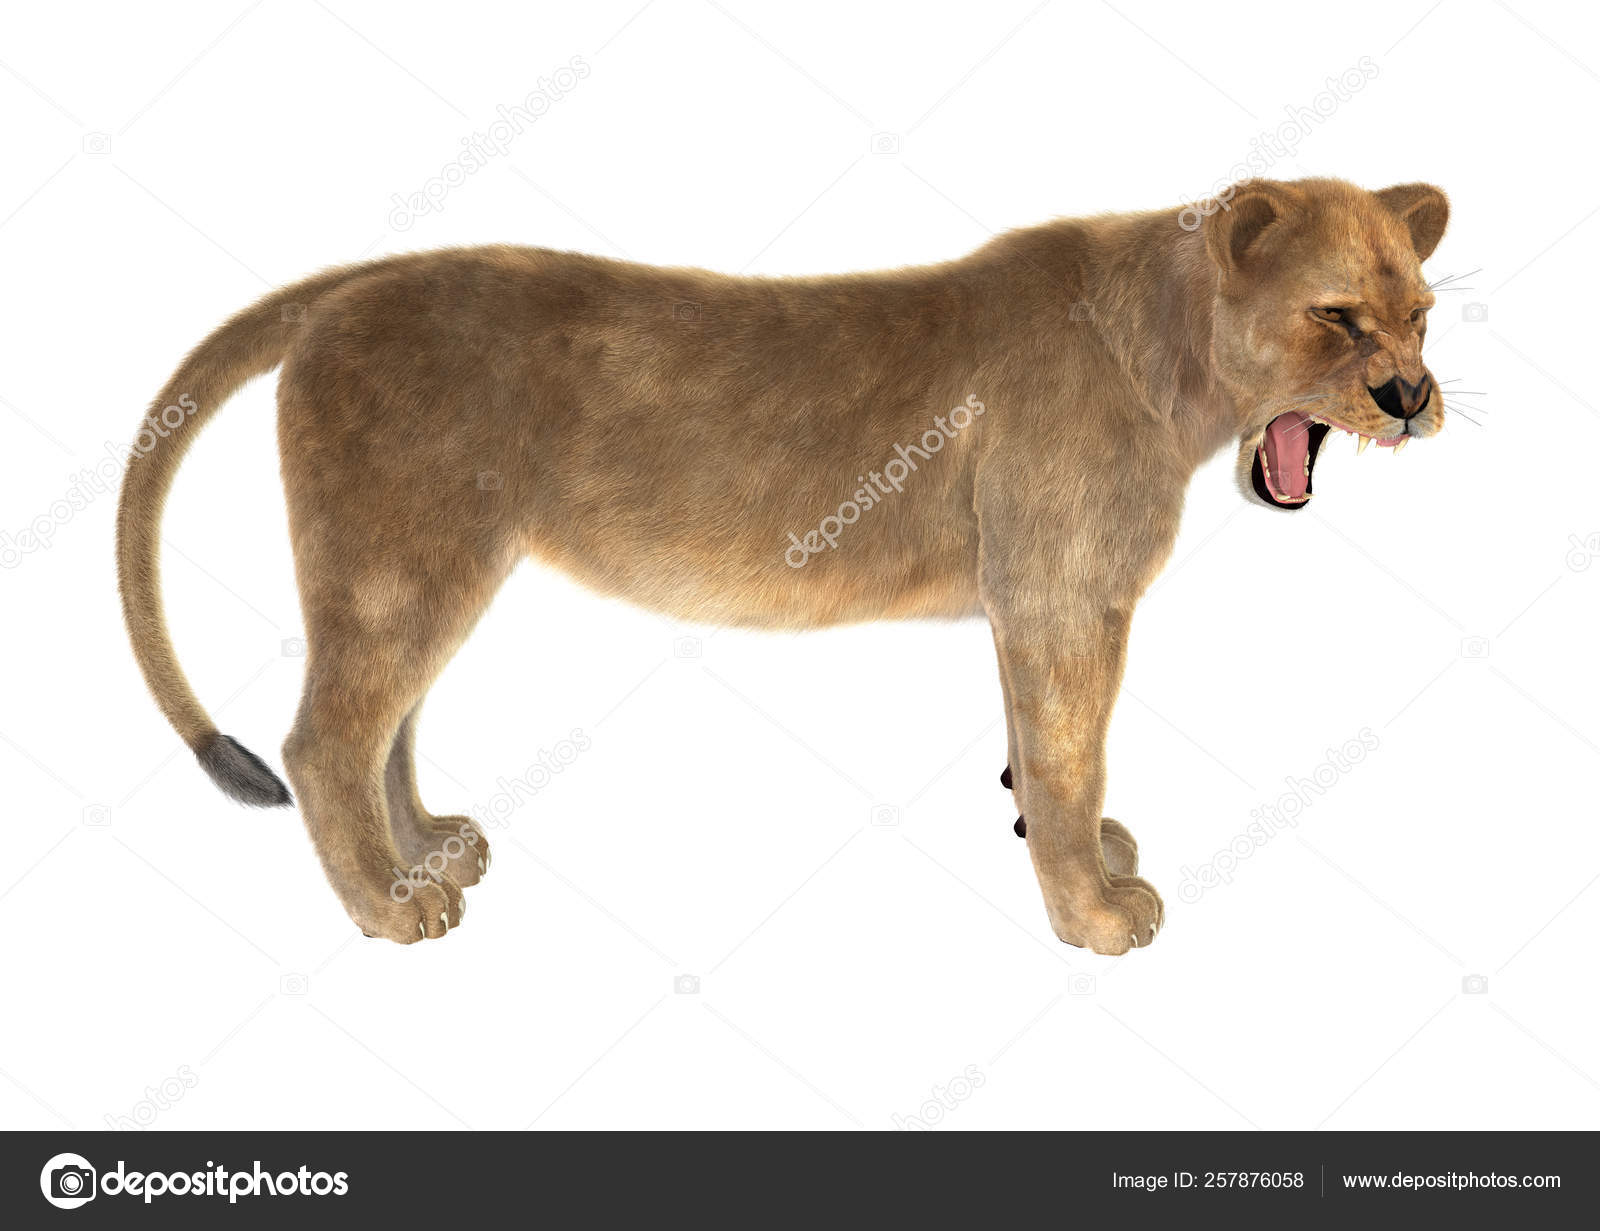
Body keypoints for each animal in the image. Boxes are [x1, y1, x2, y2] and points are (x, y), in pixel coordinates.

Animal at [116, 176, 1449, 952]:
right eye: (1336, 314)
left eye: (1421, 311)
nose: (1409, 397)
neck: (1179, 371)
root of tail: (348, 286)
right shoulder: (1064, 594)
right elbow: (1069, 756)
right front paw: (1094, 913)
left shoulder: (1033, 599)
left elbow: (1035, 749)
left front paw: (1061, 845)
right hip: (398, 563)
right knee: (322, 739)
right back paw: (394, 907)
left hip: (427, 565)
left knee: (385, 723)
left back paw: (434, 847)